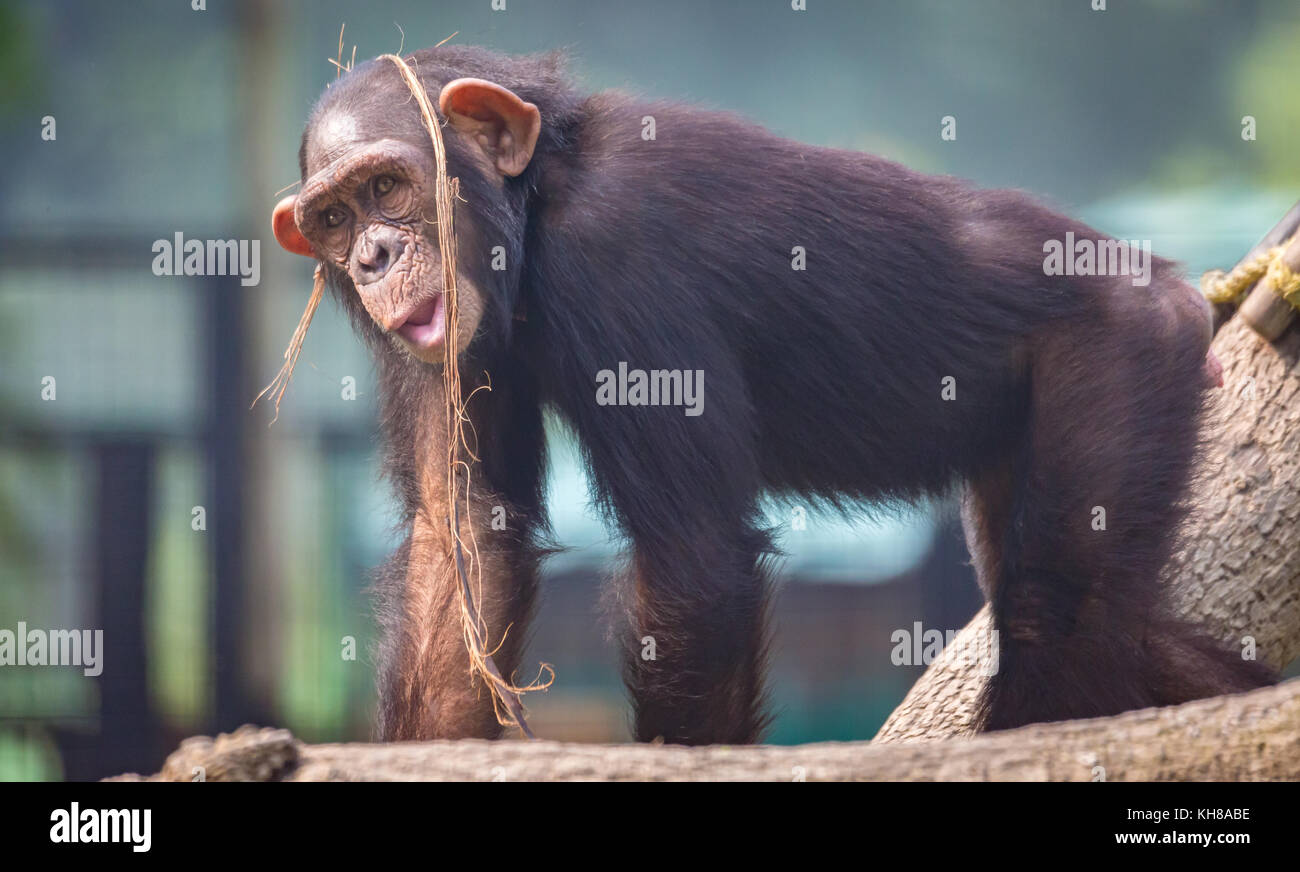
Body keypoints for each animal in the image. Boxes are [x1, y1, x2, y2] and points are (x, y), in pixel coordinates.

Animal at [269, 45, 1275, 744]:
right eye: (335, 217)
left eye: (389, 185)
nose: (374, 255)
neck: (539, 207)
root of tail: (1167, 282)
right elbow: (464, 537)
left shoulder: (623, 262)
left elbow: (694, 566)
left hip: (1122, 354)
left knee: (1061, 613)